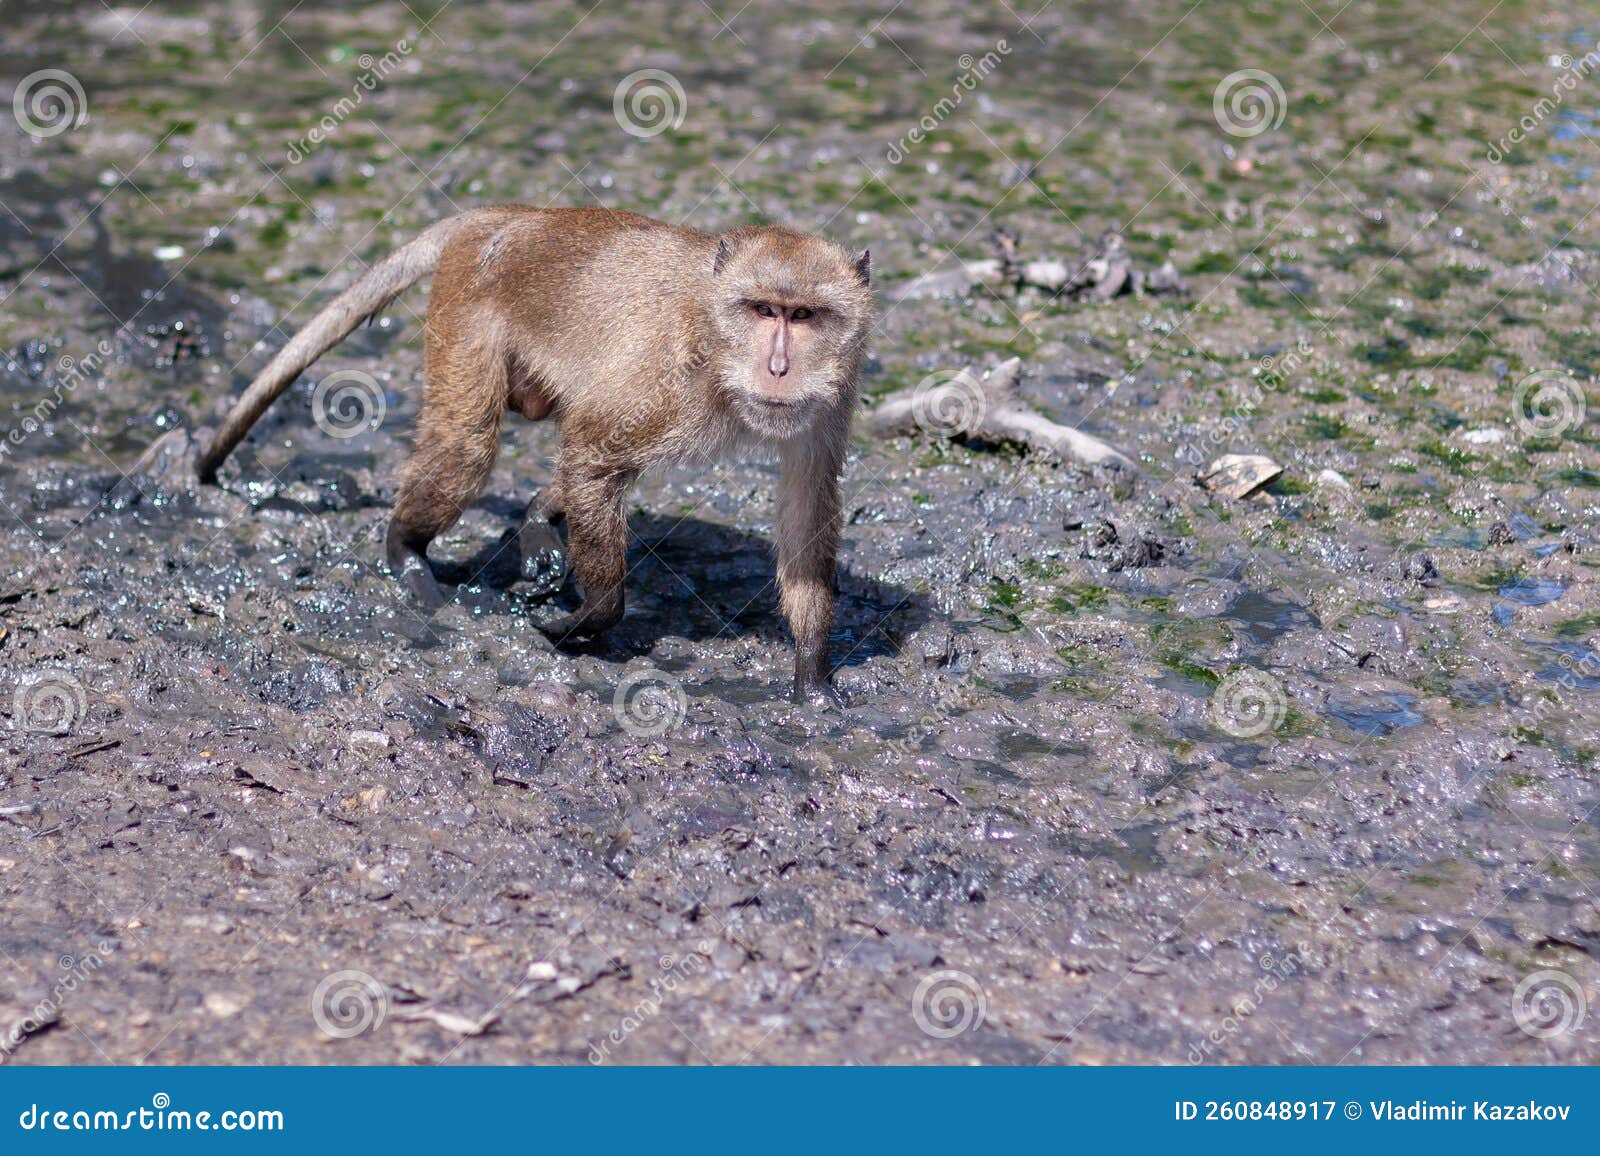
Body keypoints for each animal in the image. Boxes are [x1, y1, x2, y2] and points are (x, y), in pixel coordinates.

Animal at [196, 207, 874, 705]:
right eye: (762, 309)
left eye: (805, 314)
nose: (779, 367)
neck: (715, 338)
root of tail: (507, 214)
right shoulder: (668, 379)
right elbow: (594, 453)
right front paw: (593, 616)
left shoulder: (832, 399)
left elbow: (806, 510)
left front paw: (812, 673)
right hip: (465, 302)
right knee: (469, 444)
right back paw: (406, 551)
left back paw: (535, 519)